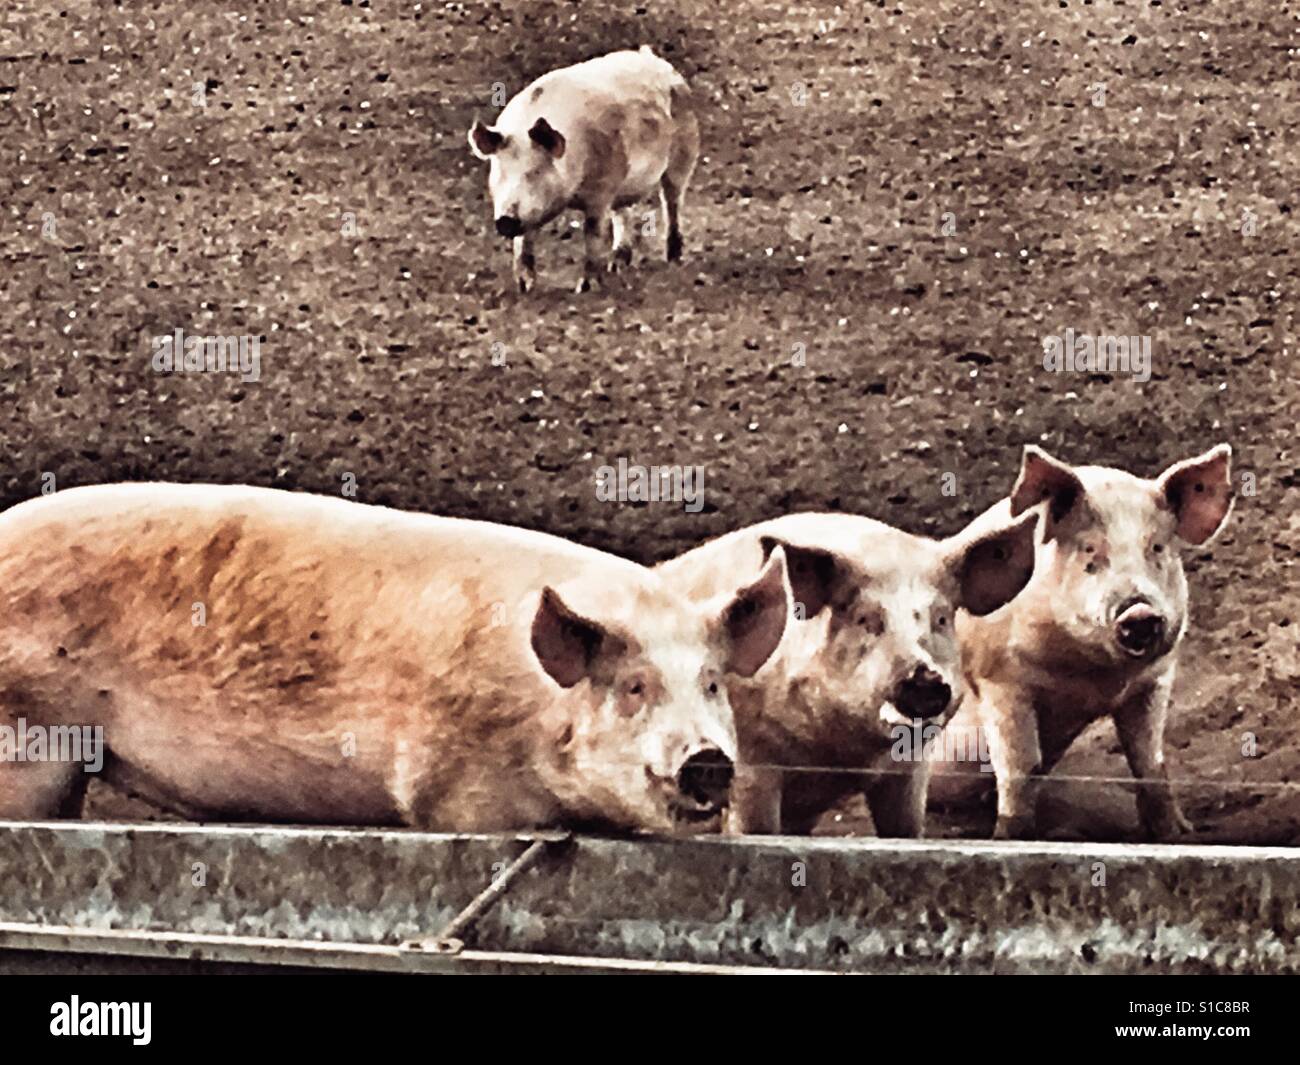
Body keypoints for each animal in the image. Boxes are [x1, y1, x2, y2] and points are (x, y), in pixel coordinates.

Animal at [0, 484, 792, 834]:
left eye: (713, 683)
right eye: (632, 686)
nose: (709, 760)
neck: (536, 702)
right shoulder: (456, 794)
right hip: (29, 743)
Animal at [466, 46, 699, 293]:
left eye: (535, 171)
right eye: (500, 172)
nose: (505, 221)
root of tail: (652, 57)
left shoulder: (603, 188)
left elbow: (592, 233)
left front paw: (585, 287)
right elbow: (524, 241)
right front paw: (524, 286)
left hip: (684, 153)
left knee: (672, 201)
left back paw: (673, 258)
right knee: (623, 212)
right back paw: (616, 265)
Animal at [657, 509, 1040, 836]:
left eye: (942, 618)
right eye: (865, 618)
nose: (924, 679)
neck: (842, 758)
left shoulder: (910, 770)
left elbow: (904, 829)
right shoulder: (752, 762)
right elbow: (755, 828)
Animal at [950, 444, 1234, 840]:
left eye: (1157, 547)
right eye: (1089, 551)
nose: (1139, 610)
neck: (1094, 678)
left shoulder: (1154, 681)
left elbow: (1149, 762)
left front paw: (1178, 834)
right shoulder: (999, 679)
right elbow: (1022, 768)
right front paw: (1007, 838)